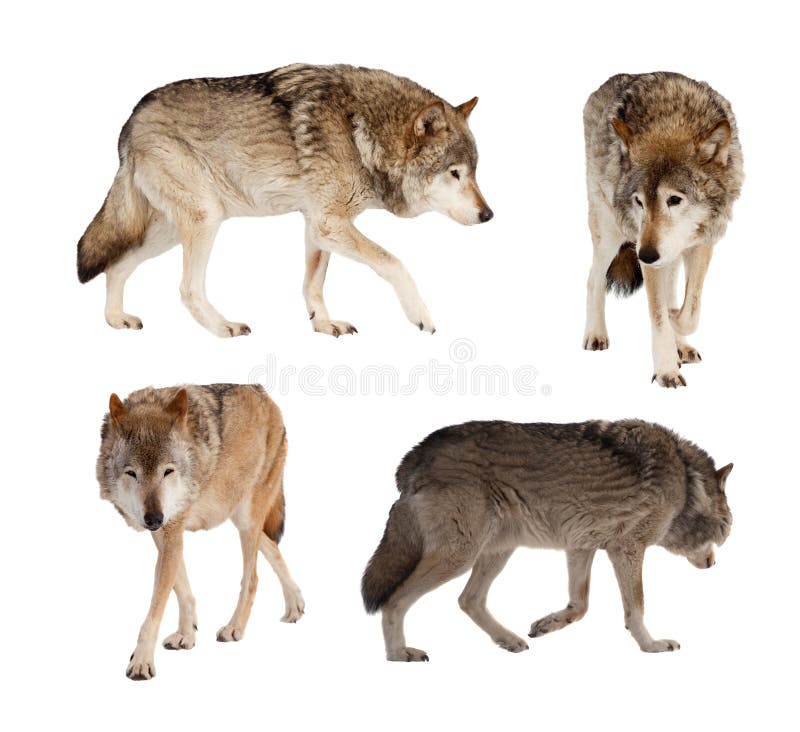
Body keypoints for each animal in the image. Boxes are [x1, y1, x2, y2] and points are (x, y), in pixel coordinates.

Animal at [77, 64, 493, 337]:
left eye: (474, 171)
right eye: (455, 173)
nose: (488, 215)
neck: (362, 133)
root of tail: (131, 118)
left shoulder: (317, 225)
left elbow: (313, 285)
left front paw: (323, 324)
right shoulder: (330, 223)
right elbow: (395, 263)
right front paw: (420, 315)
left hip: (170, 229)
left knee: (117, 266)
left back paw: (116, 320)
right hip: (205, 218)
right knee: (186, 289)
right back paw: (223, 326)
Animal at [96, 383, 305, 680]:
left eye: (167, 471)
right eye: (131, 473)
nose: (153, 517)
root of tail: (262, 391)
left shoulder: (171, 531)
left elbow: (155, 609)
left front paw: (142, 661)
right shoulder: (167, 534)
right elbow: (181, 589)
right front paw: (186, 634)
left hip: (246, 519)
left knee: (252, 578)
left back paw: (235, 627)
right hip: (236, 513)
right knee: (272, 546)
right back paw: (295, 604)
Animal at [362, 419, 733, 661]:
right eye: (726, 530)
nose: (714, 563)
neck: (686, 481)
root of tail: (415, 455)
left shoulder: (581, 546)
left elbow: (580, 606)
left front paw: (548, 624)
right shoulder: (626, 550)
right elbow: (636, 609)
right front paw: (652, 646)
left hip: (497, 552)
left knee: (468, 600)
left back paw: (508, 640)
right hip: (459, 556)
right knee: (394, 601)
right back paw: (398, 654)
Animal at [582, 72, 743, 387]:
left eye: (674, 200)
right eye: (639, 202)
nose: (644, 255)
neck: (672, 122)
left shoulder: (702, 242)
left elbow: (690, 311)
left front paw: (675, 328)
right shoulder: (646, 248)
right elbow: (658, 314)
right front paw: (667, 369)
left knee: (671, 289)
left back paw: (681, 344)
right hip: (610, 232)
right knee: (594, 279)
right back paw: (595, 335)